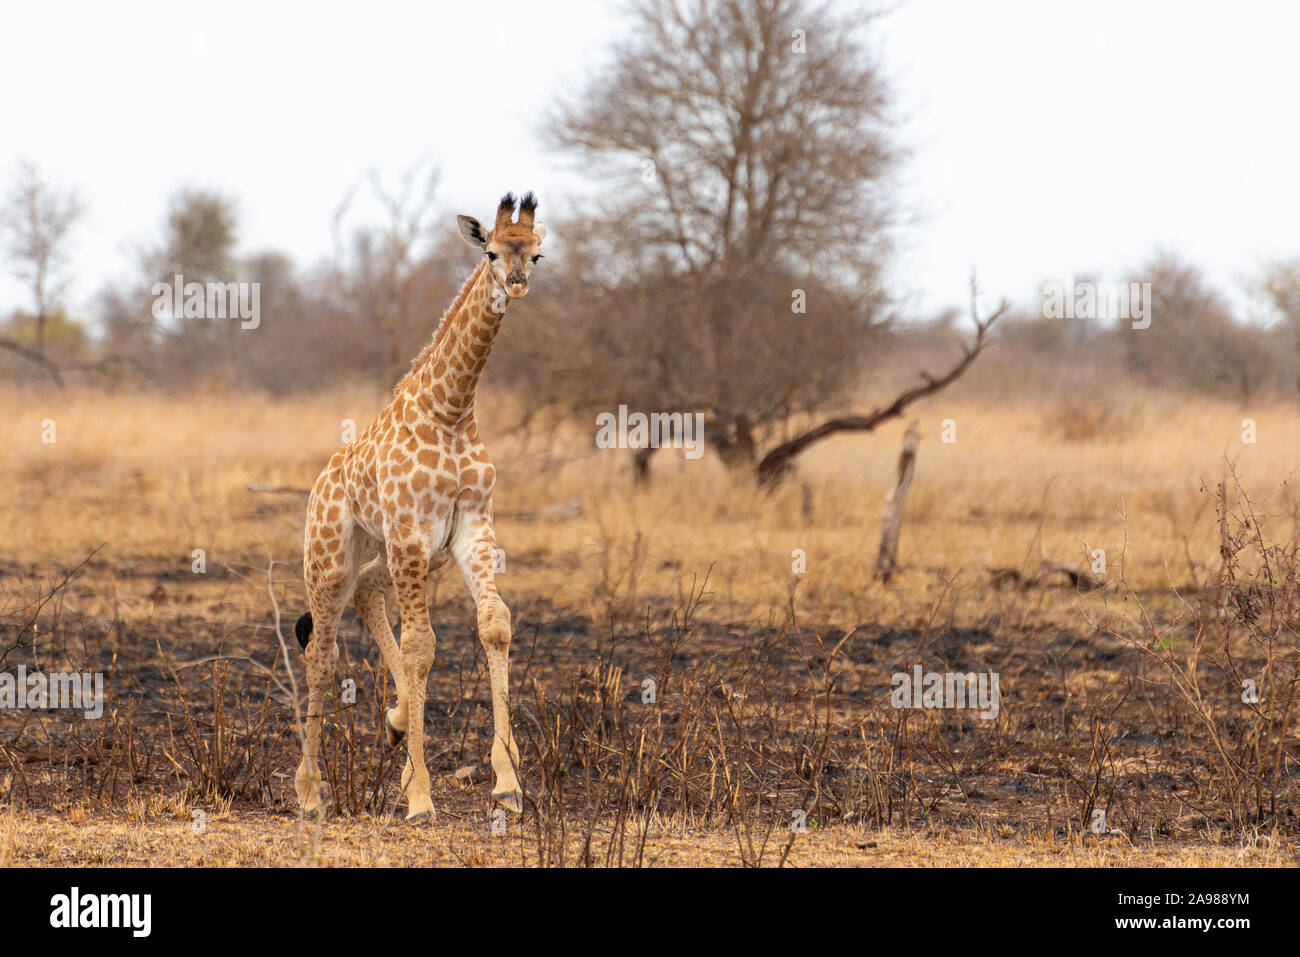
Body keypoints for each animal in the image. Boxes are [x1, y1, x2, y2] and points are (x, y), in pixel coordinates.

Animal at [291, 191, 546, 823]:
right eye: (489, 250)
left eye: (536, 252)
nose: (516, 281)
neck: (451, 409)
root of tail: (321, 481)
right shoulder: (410, 530)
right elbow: (421, 647)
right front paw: (422, 798)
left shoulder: (470, 528)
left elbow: (494, 625)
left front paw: (507, 783)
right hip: (330, 558)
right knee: (322, 654)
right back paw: (309, 791)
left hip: (407, 555)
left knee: (367, 591)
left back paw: (397, 724)